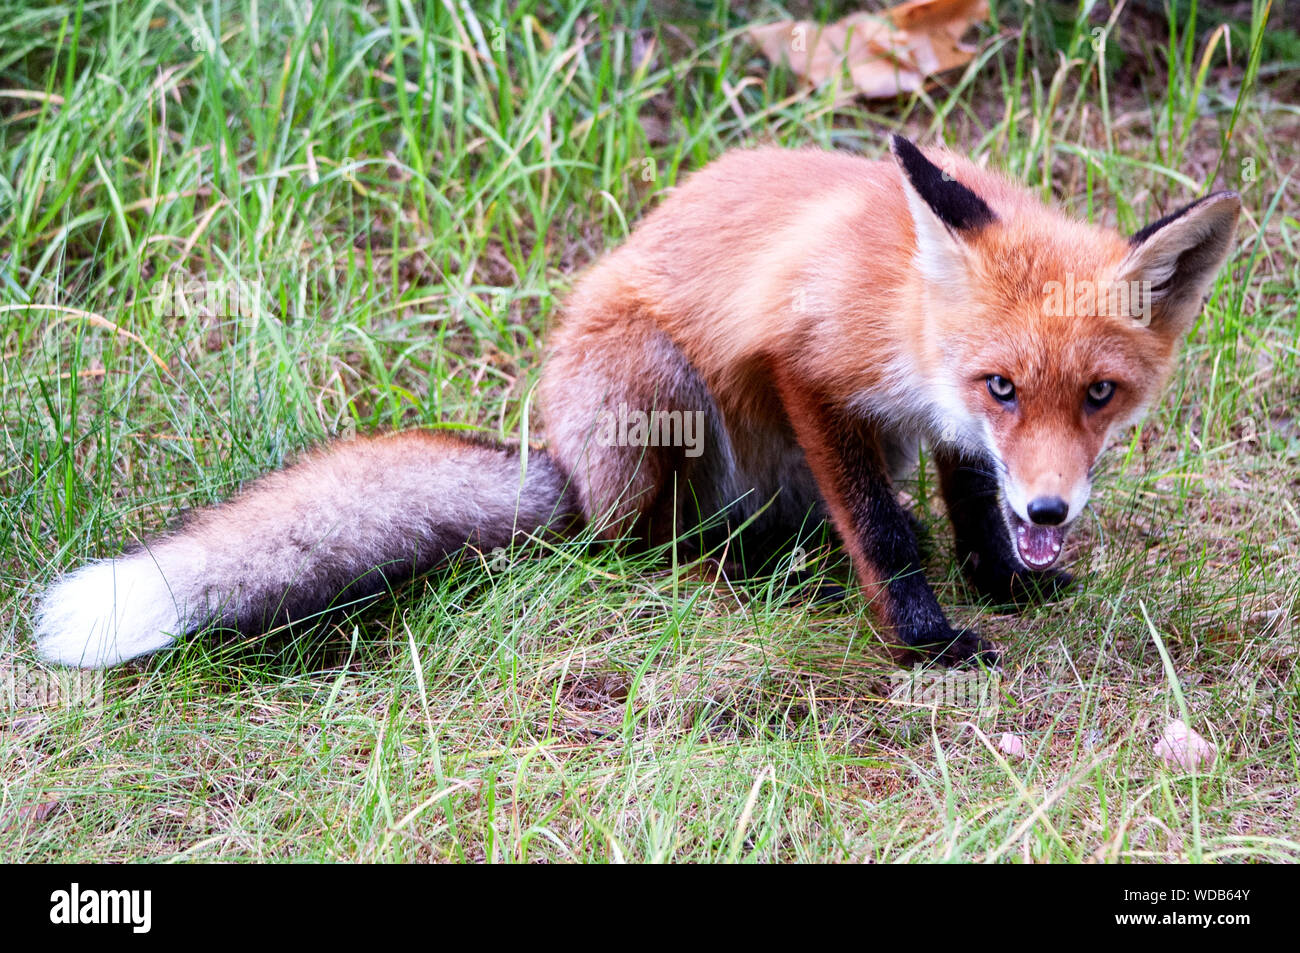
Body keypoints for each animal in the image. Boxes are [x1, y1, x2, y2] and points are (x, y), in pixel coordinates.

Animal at [32, 135, 1240, 670]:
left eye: (1098, 395)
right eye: (1003, 384)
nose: (1053, 512)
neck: (905, 307)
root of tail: (557, 465)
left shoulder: (943, 429)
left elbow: (969, 501)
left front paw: (997, 573)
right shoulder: (810, 368)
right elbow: (889, 532)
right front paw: (924, 636)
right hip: (658, 388)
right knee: (635, 549)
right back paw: (729, 576)